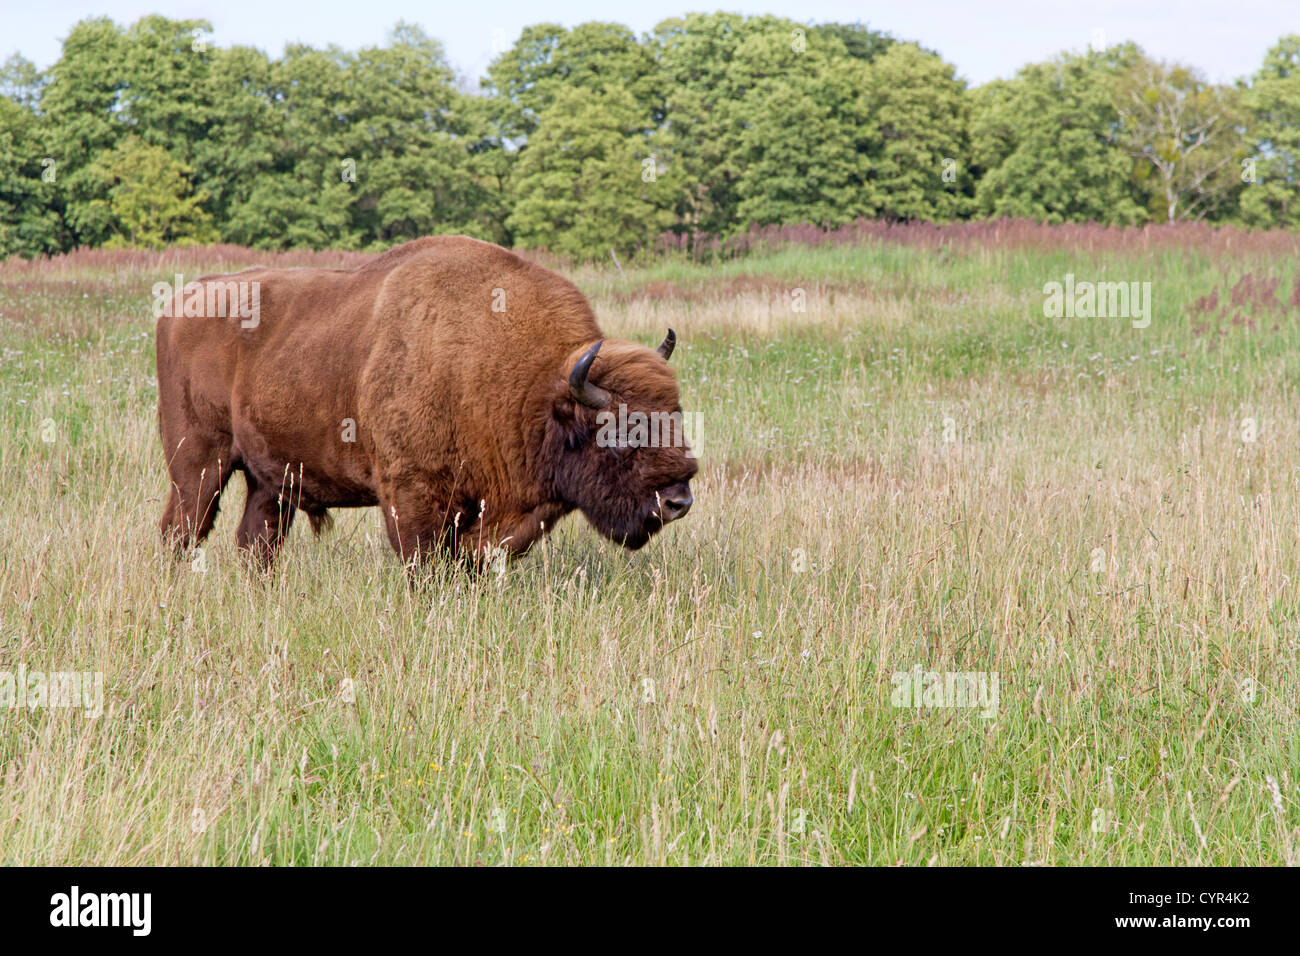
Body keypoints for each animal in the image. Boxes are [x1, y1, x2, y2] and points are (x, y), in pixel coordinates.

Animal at [155, 236, 697, 569]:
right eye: (620, 433)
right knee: (182, 531)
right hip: (198, 464)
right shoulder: (413, 495)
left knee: (256, 543)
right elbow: (424, 563)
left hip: (272, 481)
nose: (679, 501)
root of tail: (185, 299)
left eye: (675, 417)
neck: (534, 388)